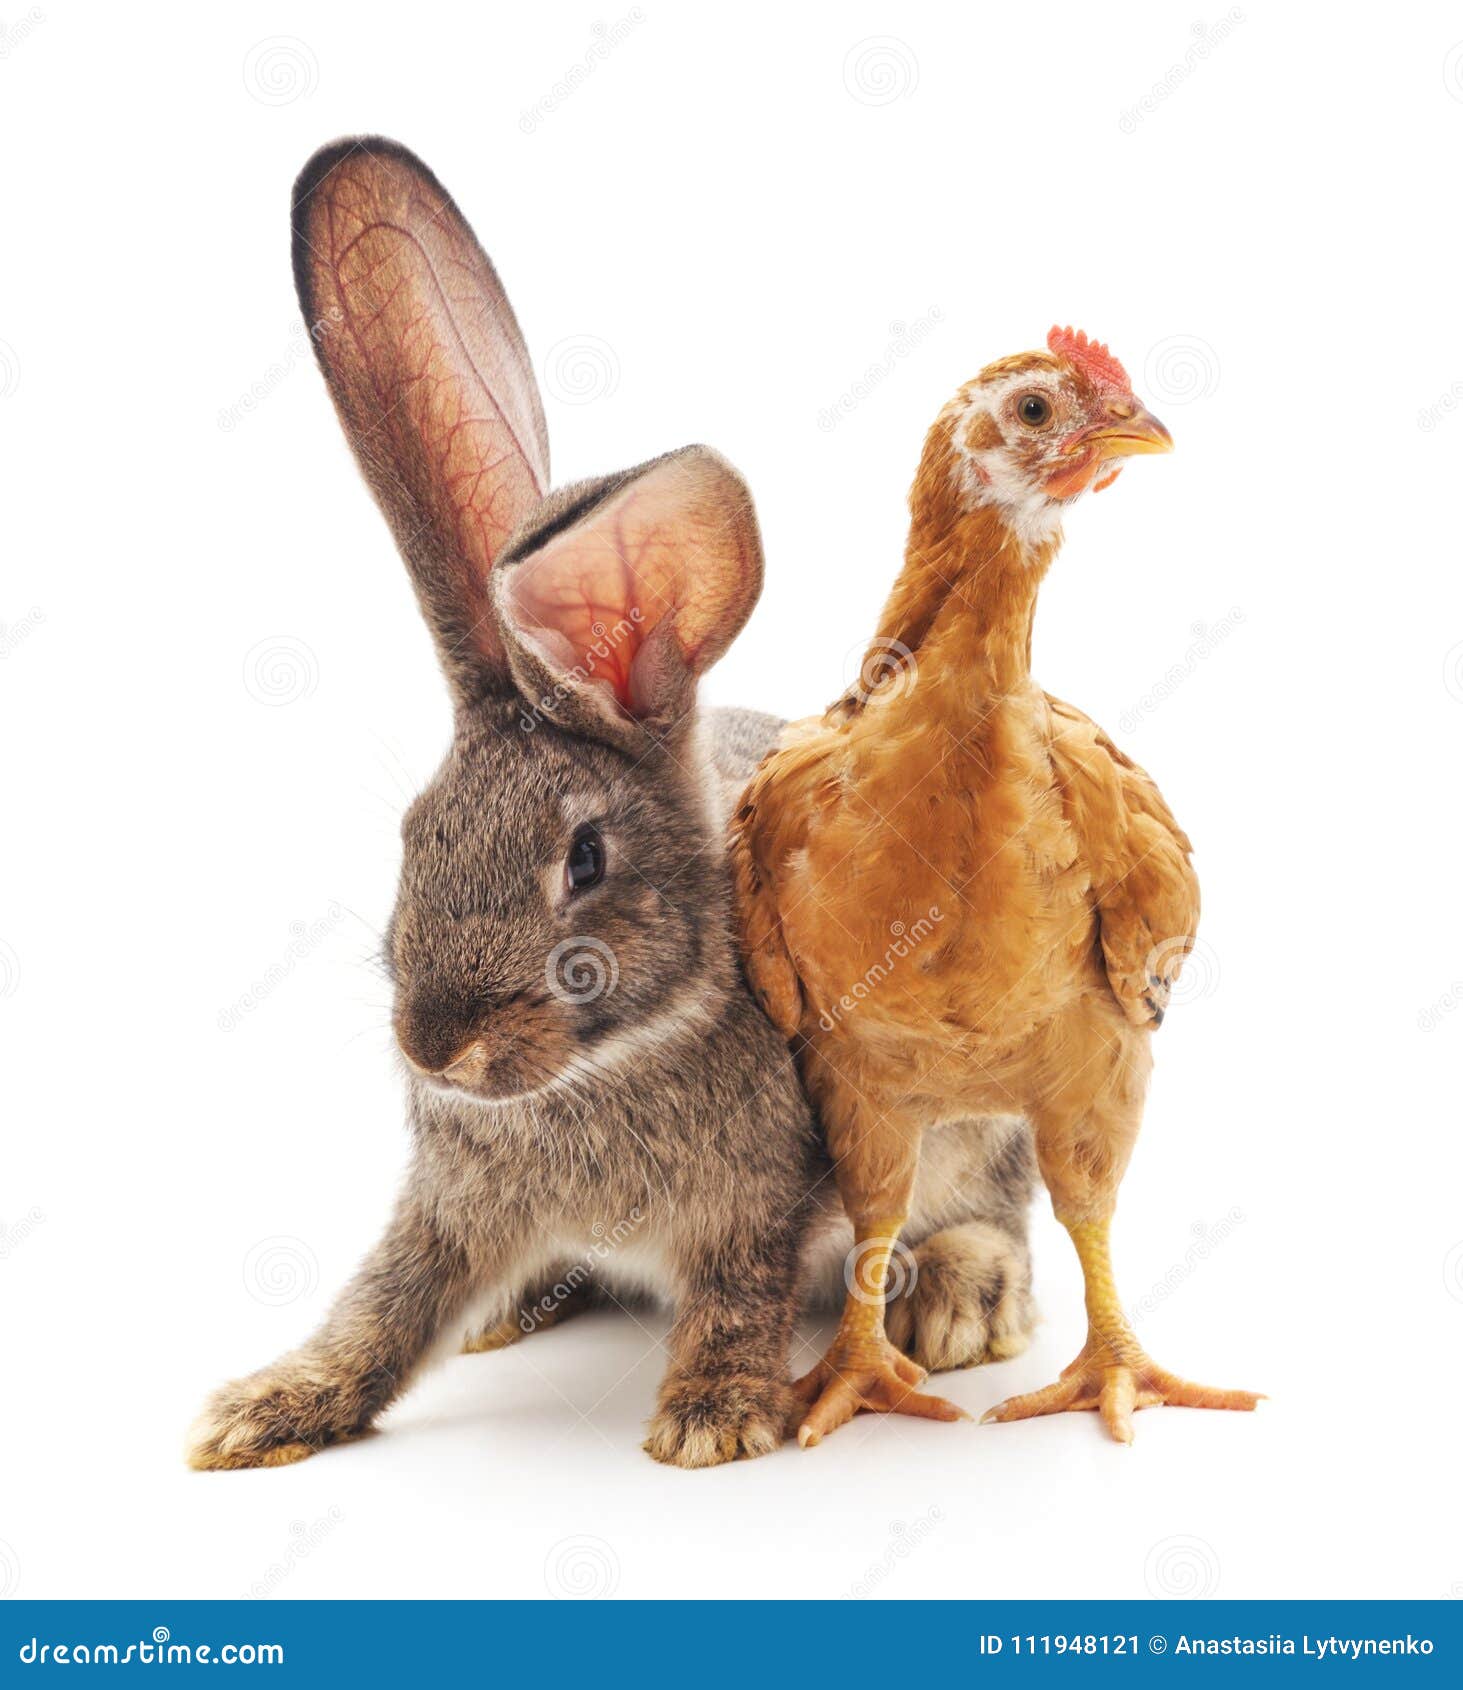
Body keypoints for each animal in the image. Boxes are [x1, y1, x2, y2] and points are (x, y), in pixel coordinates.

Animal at [187, 137, 1037, 1473]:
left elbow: (739, 1287)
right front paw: (268, 1407)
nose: (434, 1047)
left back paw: (959, 1293)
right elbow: (386, 1307)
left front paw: (709, 1417)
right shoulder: (445, 1212)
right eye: (412, 836)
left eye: (582, 858)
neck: (607, 1063)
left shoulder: (769, 1195)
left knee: (995, 1201)